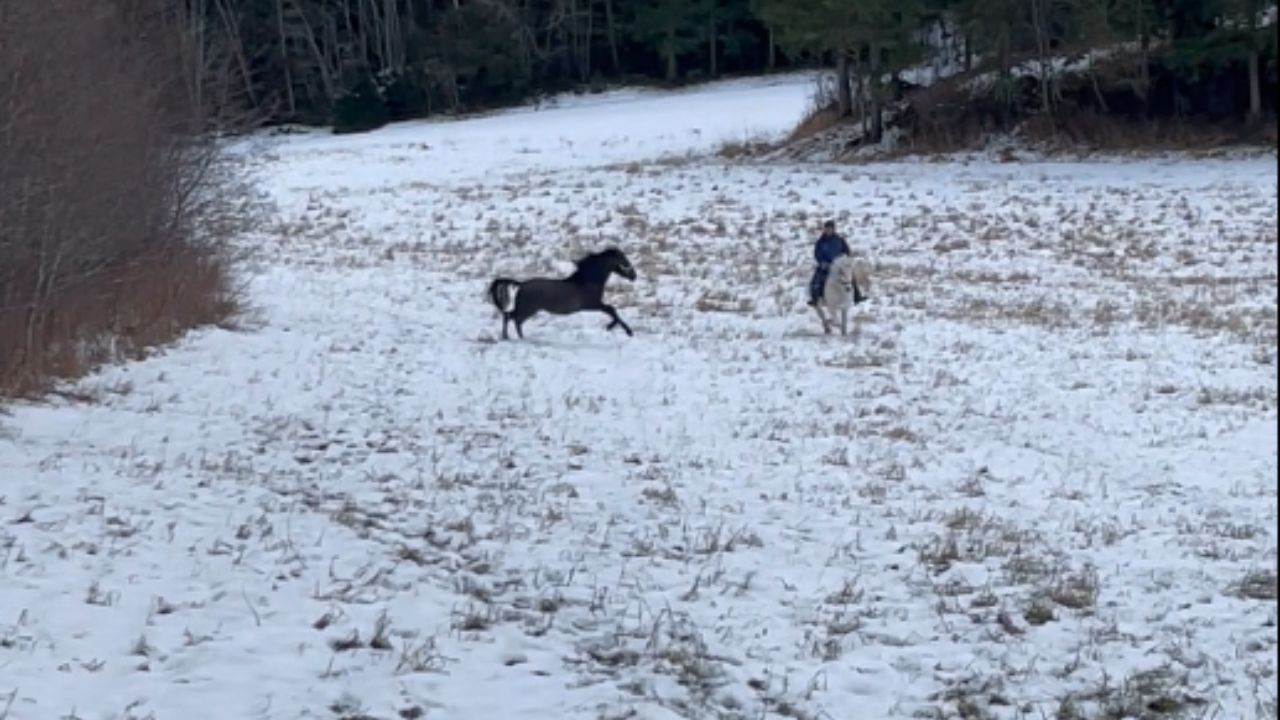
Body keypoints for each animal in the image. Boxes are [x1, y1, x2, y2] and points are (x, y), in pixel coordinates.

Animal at [487, 247, 638, 340]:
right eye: (623, 259)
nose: (634, 276)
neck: (588, 281)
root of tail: (521, 284)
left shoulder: (594, 304)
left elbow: (611, 310)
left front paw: (612, 327)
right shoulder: (591, 304)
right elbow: (611, 309)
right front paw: (624, 330)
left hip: (526, 309)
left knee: (510, 317)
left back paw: (510, 337)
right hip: (528, 309)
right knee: (513, 318)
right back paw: (518, 338)